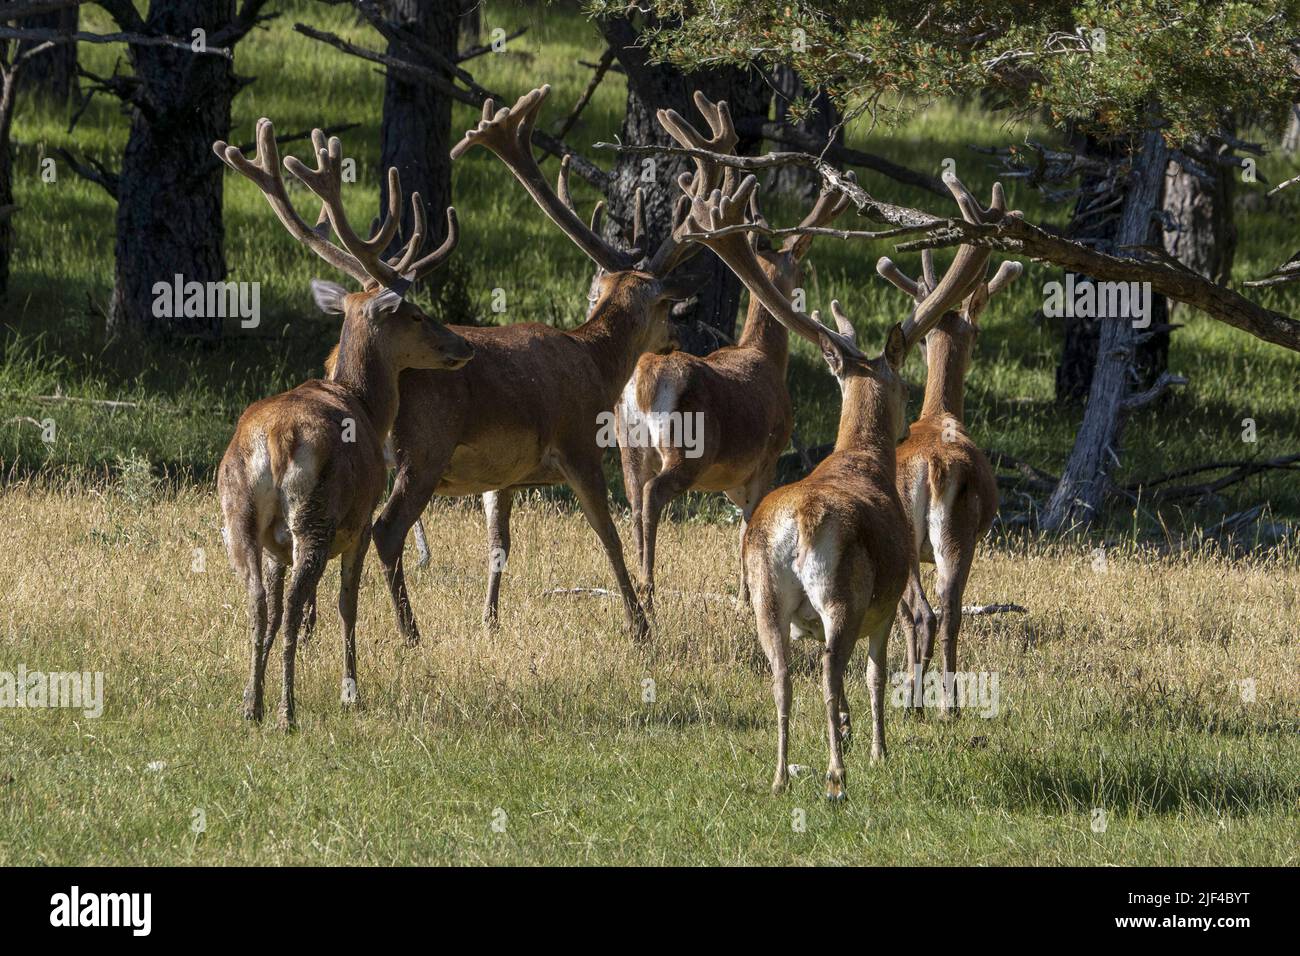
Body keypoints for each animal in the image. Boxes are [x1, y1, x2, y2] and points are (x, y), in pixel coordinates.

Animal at [213, 119, 474, 728]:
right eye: (418, 314)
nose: (463, 345)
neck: (365, 406)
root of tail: (268, 444)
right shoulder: (360, 519)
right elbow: (345, 605)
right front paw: (350, 688)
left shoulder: (273, 544)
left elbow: (283, 612)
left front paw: (256, 693)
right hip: (318, 513)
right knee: (290, 609)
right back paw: (287, 712)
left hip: (237, 514)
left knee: (258, 607)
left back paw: (252, 707)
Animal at [367, 84, 722, 644]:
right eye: (668, 305)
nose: (679, 337)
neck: (596, 363)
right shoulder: (579, 444)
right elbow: (609, 537)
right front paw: (641, 628)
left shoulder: (504, 477)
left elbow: (498, 546)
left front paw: (489, 622)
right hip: (422, 450)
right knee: (385, 530)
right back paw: (410, 631)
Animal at [617, 94, 853, 610]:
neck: (765, 358)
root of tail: (644, 383)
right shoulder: (765, 460)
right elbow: (748, 527)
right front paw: (747, 596)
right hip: (686, 446)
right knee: (653, 495)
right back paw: (648, 585)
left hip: (628, 445)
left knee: (633, 496)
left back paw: (638, 578)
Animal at [876, 243, 1022, 716]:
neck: (940, 414)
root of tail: (931, 468)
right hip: (957, 531)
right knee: (943, 608)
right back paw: (944, 702)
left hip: (918, 536)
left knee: (924, 611)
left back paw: (924, 701)